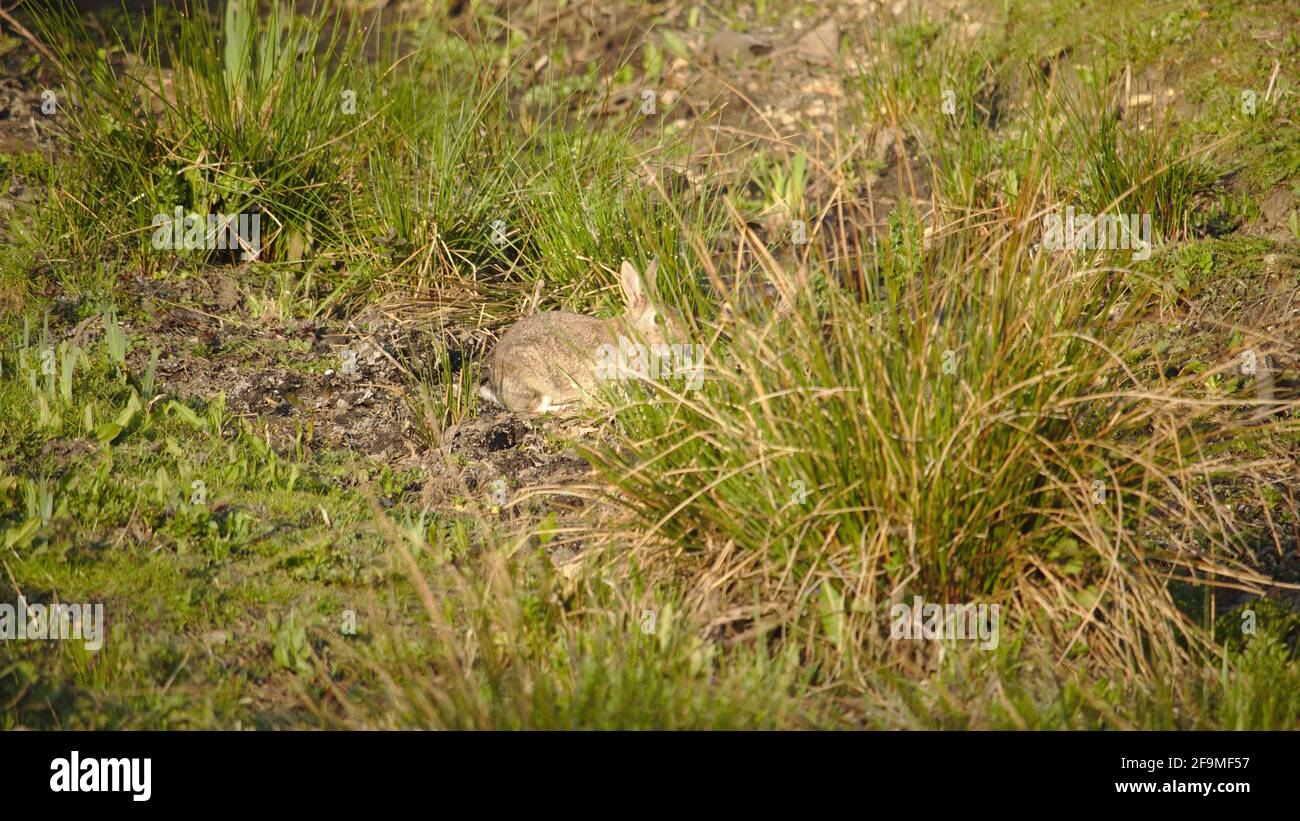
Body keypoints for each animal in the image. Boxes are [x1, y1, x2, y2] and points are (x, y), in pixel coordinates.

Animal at [478, 258, 684, 415]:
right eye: (658, 319)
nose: (683, 341)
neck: (633, 336)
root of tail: (496, 386)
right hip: (534, 378)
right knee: (537, 408)